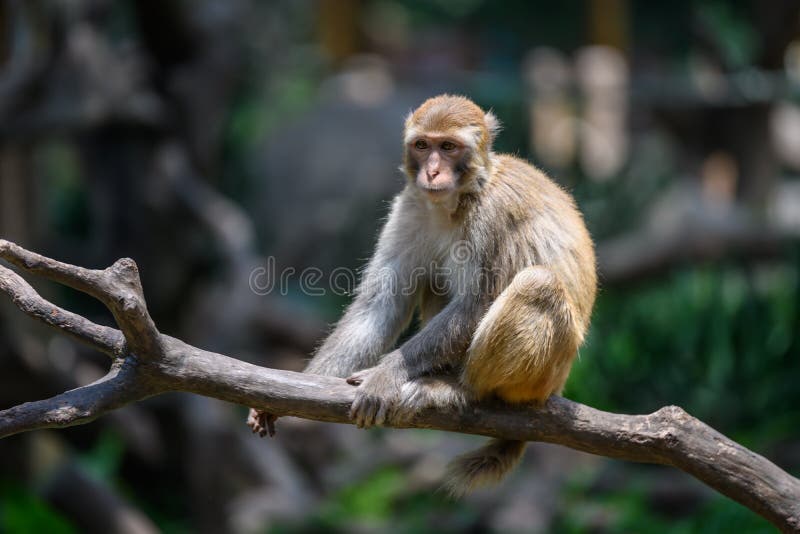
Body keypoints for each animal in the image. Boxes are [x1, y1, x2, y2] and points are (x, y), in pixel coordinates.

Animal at [248, 94, 597, 495]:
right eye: (422, 145)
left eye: (448, 147)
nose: (431, 172)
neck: (459, 199)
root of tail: (555, 386)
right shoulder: (409, 207)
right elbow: (381, 304)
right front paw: (290, 398)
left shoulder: (491, 214)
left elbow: (476, 304)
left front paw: (387, 375)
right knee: (434, 279)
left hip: (543, 375)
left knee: (537, 284)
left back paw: (462, 391)